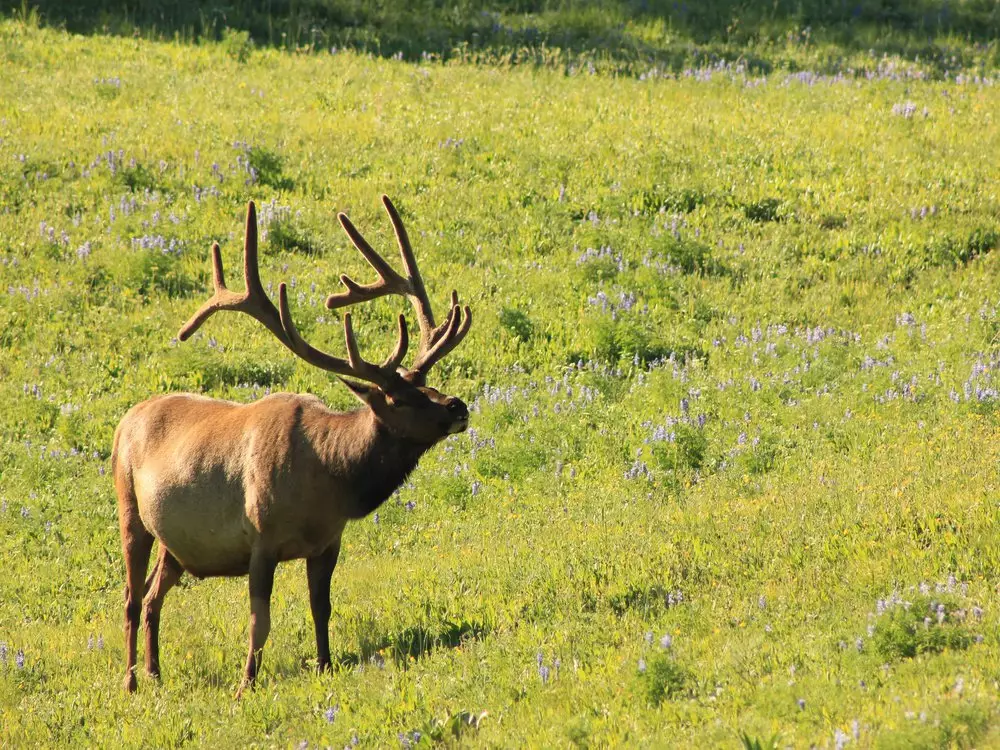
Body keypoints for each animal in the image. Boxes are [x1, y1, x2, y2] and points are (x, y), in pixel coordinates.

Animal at [115, 197, 474, 696]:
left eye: (428, 384)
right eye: (400, 398)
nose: (458, 406)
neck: (329, 479)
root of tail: (125, 420)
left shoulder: (328, 542)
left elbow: (321, 608)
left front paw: (324, 666)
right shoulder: (260, 536)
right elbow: (258, 621)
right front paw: (244, 686)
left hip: (175, 543)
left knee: (152, 596)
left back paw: (155, 673)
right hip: (130, 510)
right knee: (131, 596)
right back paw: (131, 682)